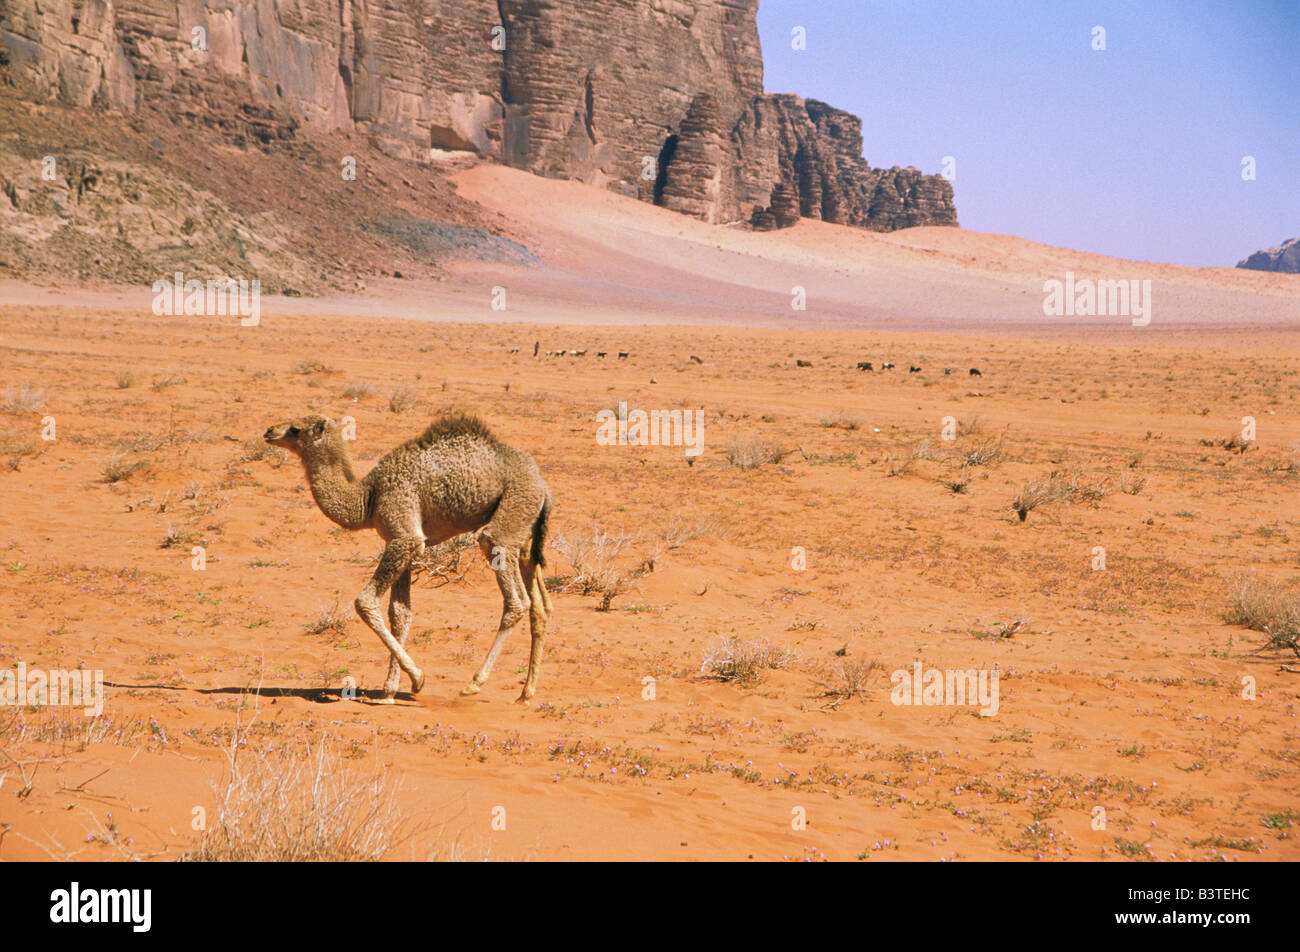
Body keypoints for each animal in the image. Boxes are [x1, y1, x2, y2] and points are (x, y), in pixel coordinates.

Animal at [264, 412, 553, 704]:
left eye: (295, 429)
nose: (269, 431)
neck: (368, 499)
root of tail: (543, 486)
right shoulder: (399, 542)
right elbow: (400, 613)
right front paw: (389, 691)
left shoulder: (404, 535)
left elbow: (365, 602)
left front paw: (417, 678)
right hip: (525, 534)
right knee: (540, 605)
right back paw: (526, 693)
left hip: (507, 521)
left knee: (515, 596)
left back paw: (474, 683)